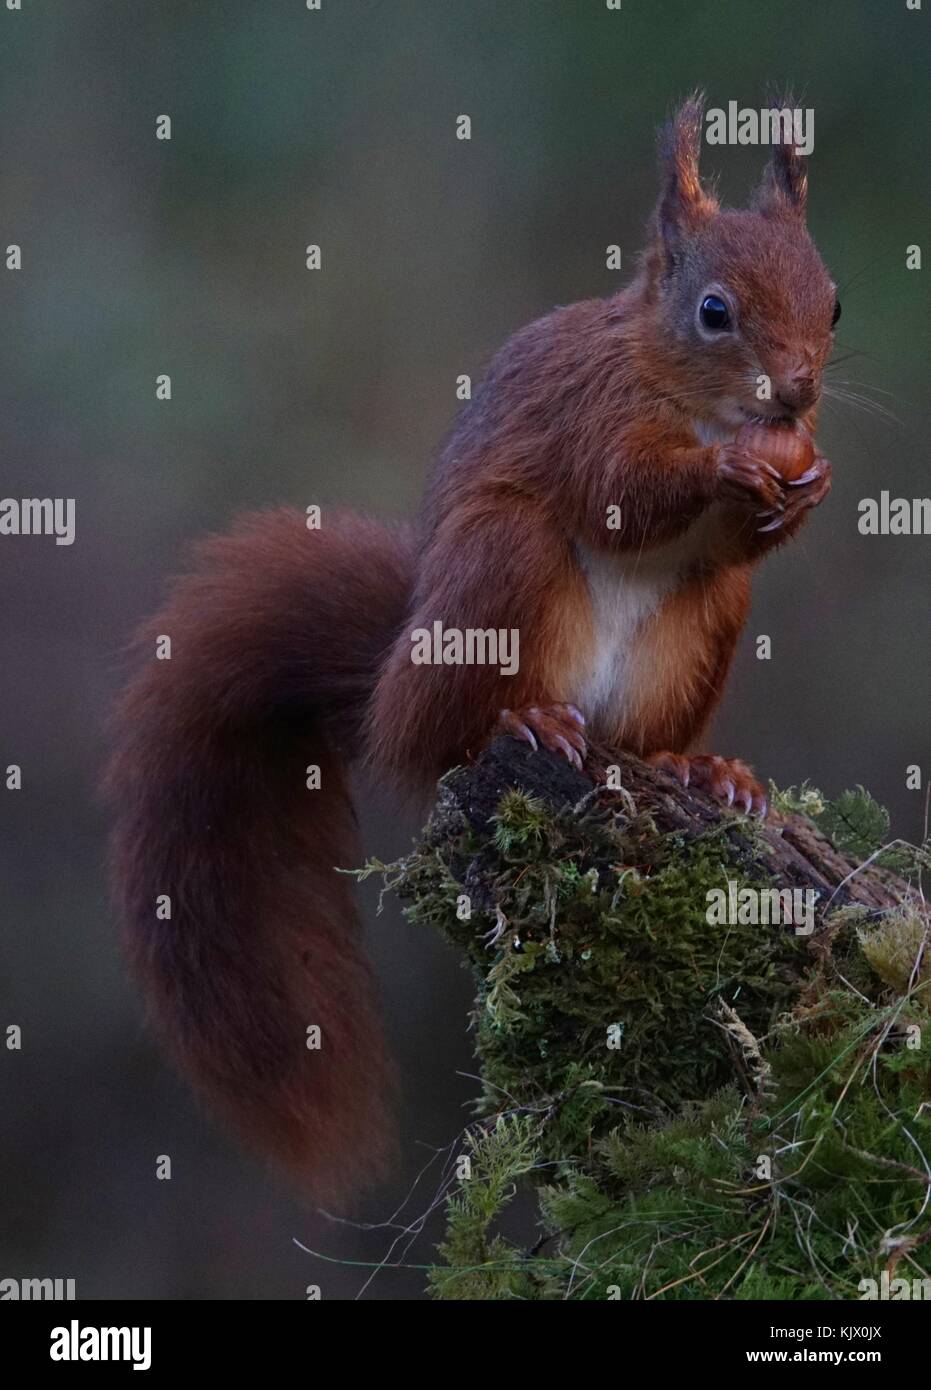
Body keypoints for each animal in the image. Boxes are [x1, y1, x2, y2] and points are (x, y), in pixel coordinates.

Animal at [107, 95, 837, 1205]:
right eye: (713, 312)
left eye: (831, 305)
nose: (794, 393)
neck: (689, 396)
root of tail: (385, 691)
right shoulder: (588, 416)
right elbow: (621, 492)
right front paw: (724, 471)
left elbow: (747, 536)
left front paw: (806, 482)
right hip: (498, 565)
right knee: (452, 730)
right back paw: (524, 718)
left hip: (700, 628)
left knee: (650, 715)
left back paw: (698, 767)